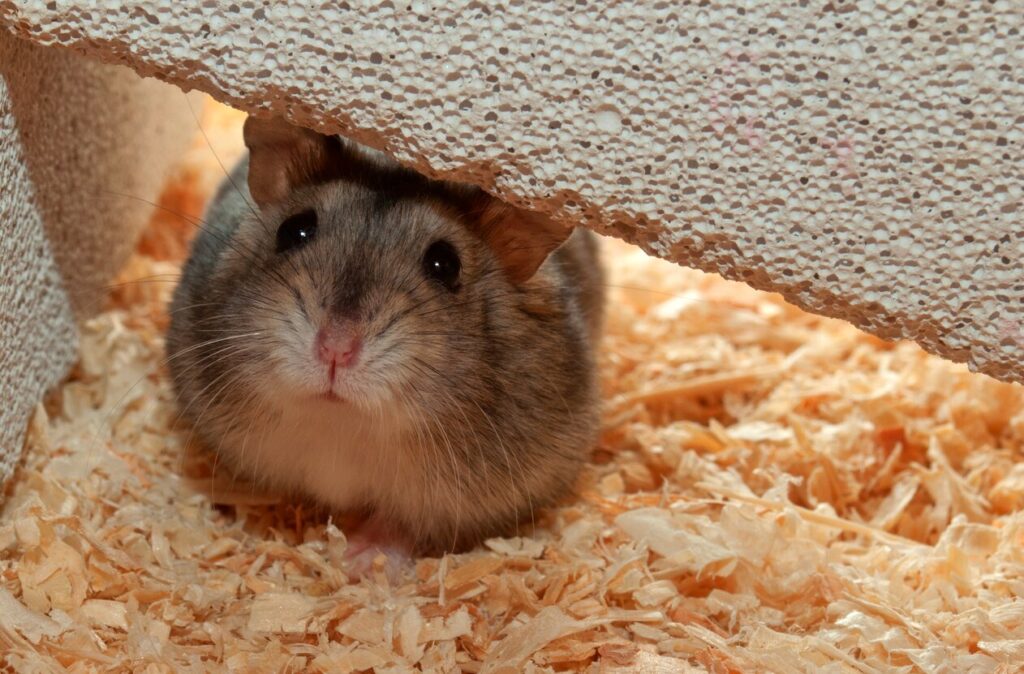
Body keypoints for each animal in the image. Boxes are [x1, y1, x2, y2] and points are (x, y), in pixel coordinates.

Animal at [166, 116, 604, 554]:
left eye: (445, 264)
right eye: (294, 230)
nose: (336, 349)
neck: (340, 425)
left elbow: (402, 528)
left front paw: (355, 558)